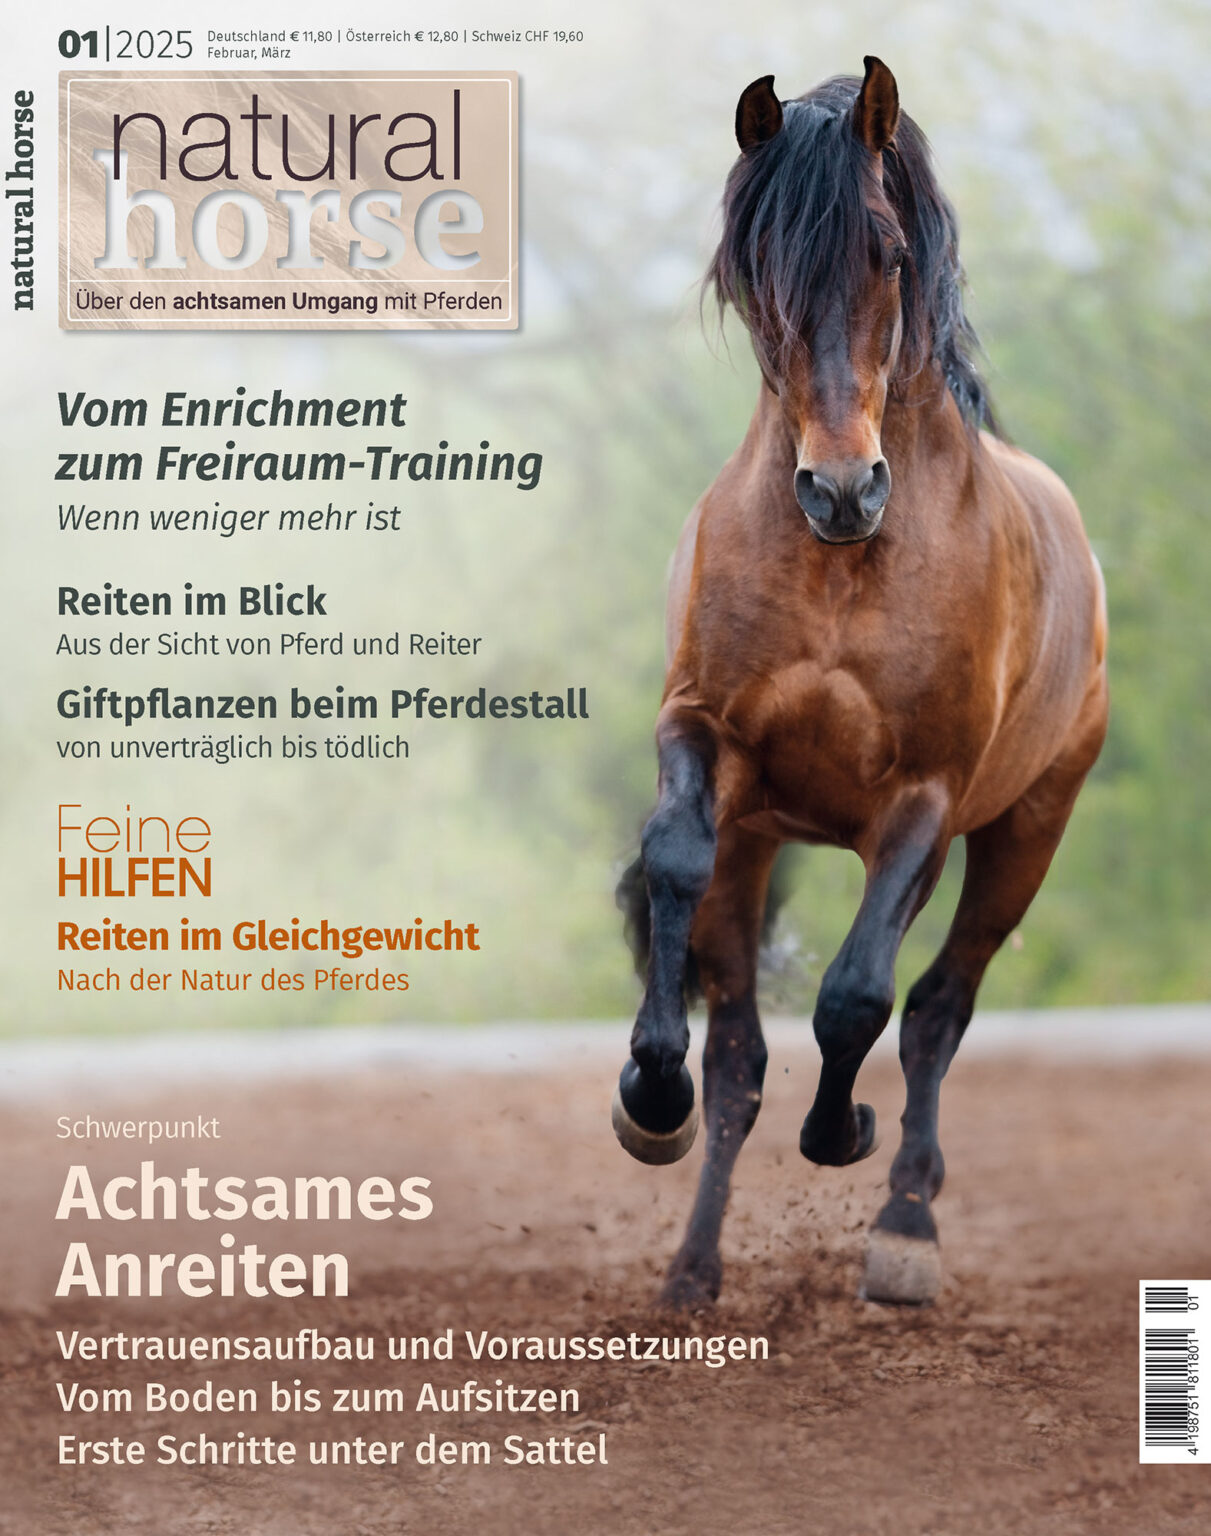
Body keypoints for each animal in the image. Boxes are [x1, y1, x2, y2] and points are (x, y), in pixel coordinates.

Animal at [612, 58, 1108, 1310]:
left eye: (884, 252)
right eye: (753, 269)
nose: (841, 491)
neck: (843, 569)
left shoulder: (921, 803)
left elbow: (854, 996)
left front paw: (842, 1137)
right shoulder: (704, 741)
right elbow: (674, 871)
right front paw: (647, 1097)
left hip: (1029, 826)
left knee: (937, 1008)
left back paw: (902, 1227)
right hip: (761, 839)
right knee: (740, 1054)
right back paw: (692, 1269)